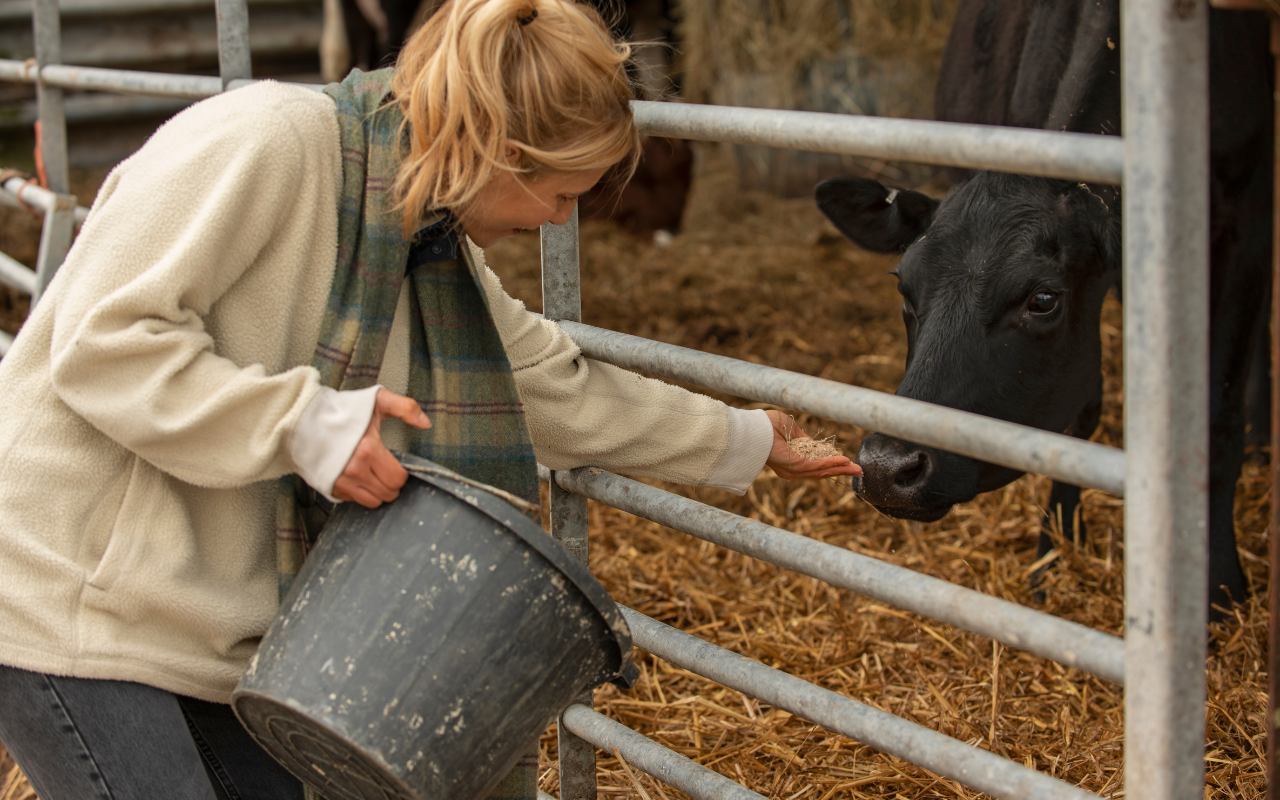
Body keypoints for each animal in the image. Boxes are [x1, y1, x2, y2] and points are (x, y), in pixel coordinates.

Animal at [814, 0, 1274, 614]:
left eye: (1042, 299)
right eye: (903, 289)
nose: (887, 468)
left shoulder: (1244, 224)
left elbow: (1219, 420)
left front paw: (1222, 583)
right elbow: (1079, 413)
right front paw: (1055, 555)